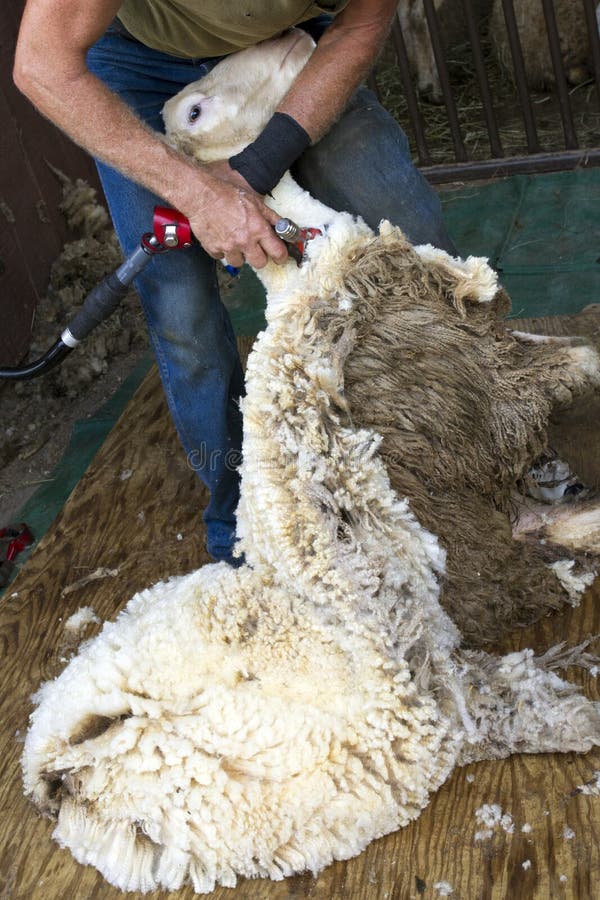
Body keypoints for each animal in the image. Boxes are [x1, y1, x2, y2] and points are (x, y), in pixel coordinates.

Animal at [22, 29, 600, 894]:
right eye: (195, 110)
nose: (298, 36)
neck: (309, 255)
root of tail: (62, 771)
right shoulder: (480, 368)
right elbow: (572, 357)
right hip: (390, 735)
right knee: (496, 684)